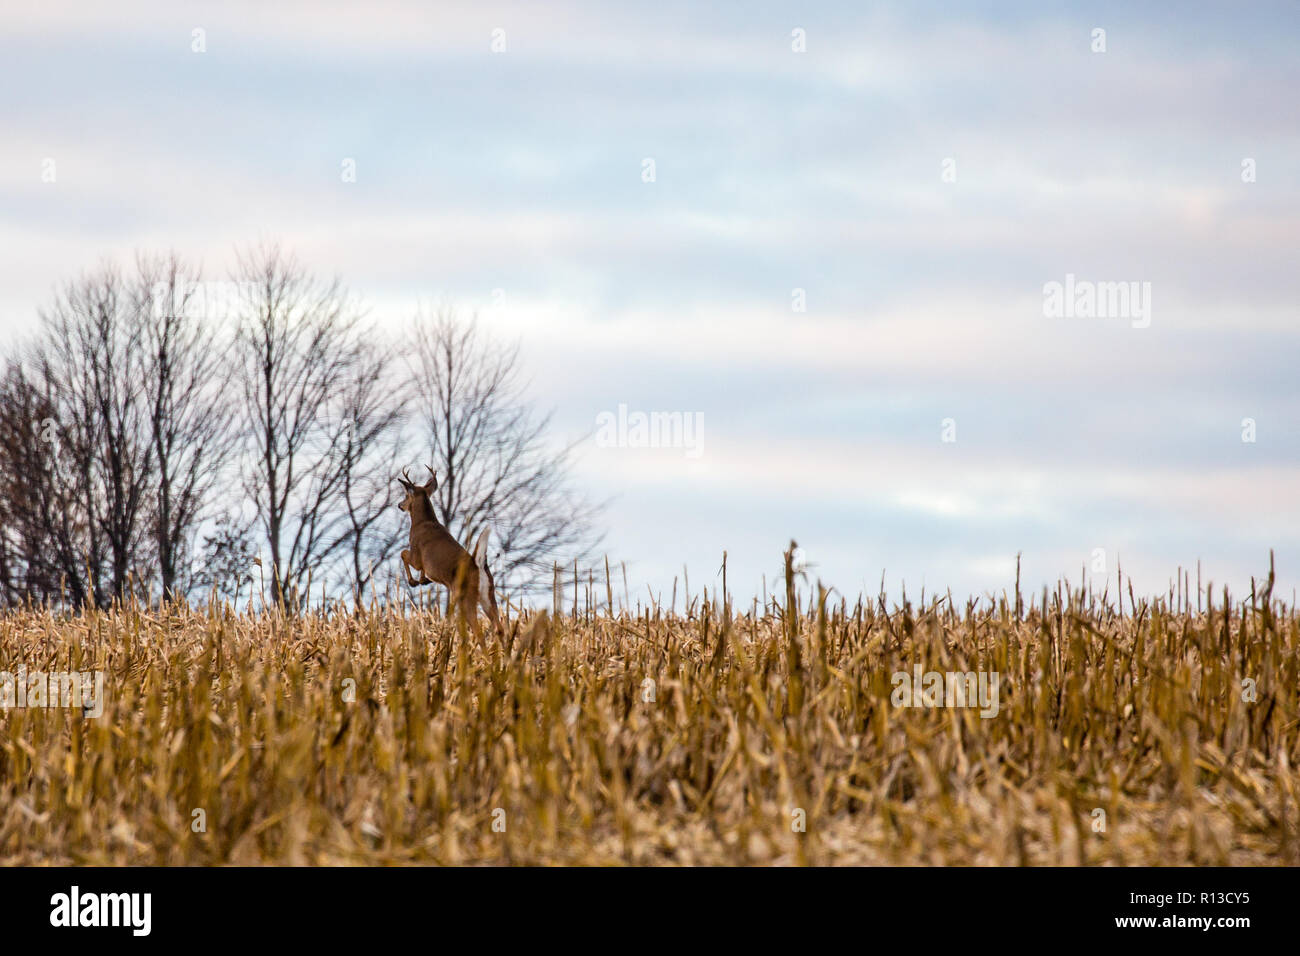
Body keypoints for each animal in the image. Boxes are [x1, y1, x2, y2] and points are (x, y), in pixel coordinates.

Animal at [396, 466, 503, 638]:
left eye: (406, 495)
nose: (399, 505)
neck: (422, 522)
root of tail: (478, 565)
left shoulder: (416, 555)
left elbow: (403, 553)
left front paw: (413, 582)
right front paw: (423, 580)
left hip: (465, 596)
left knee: (477, 629)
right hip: (488, 595)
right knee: (500, 628)